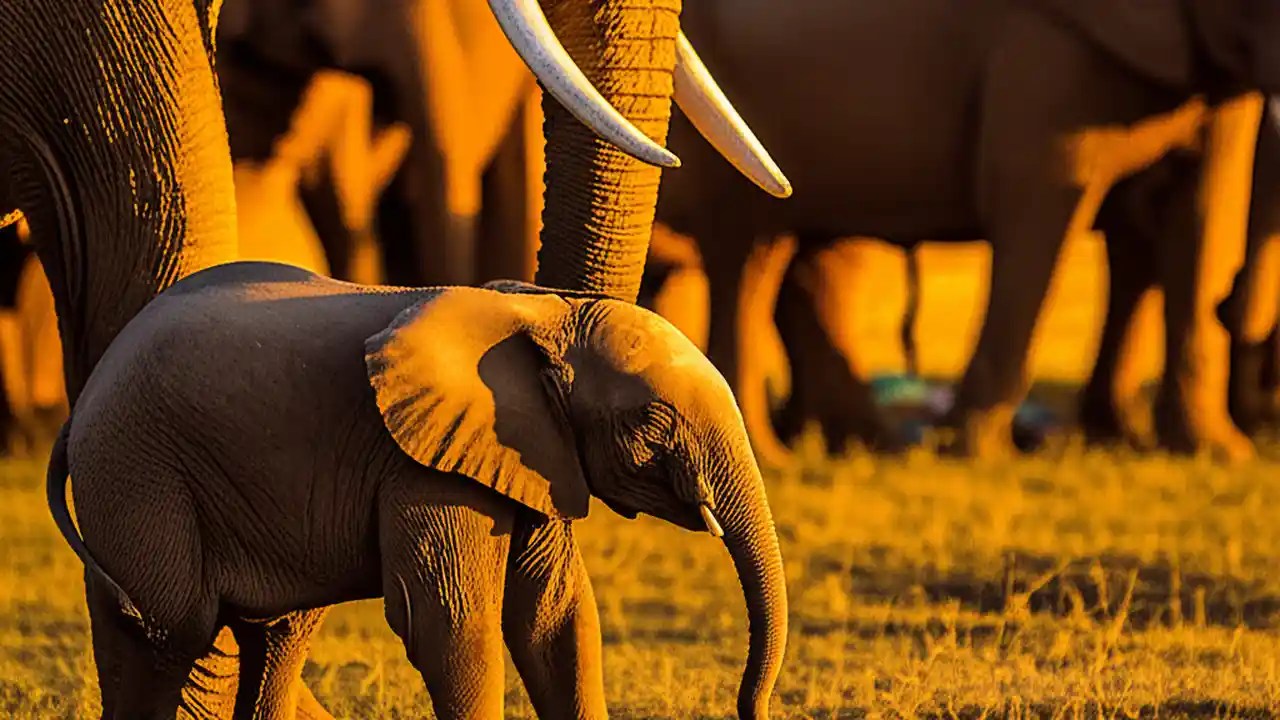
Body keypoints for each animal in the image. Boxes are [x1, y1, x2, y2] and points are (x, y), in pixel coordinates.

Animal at [1, 0, 790, 717]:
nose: (748, 705)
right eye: (650, 428)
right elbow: (449, 626)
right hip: (140, 475)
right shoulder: (424, 474)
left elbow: (555, 620)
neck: (529, 316)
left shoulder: (524, 459)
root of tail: (76, 423)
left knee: (274, 629)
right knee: (164, 627)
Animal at [652, 0, 1280, 461]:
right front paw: (969, 450)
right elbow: (1040, 200)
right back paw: (788, 453)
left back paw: (865, 443)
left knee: (800, 258)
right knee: (749, 250)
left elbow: (1203, 213)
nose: (1232, 306)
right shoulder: (1046, 50)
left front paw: (1212, 453)